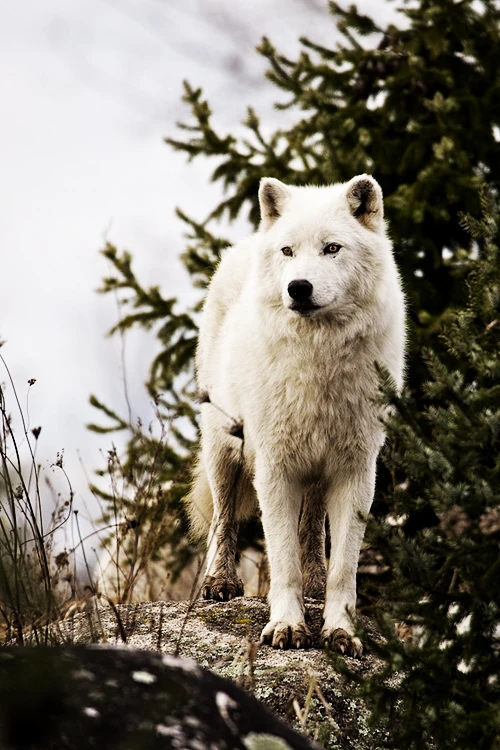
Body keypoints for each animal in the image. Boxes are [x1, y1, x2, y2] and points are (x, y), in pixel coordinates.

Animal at [188, 174, 406, 655]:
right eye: (288, 251)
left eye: (331, 248)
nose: (299, 288)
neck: (318, 361)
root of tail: (248, 241)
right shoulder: (275, 469)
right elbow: (282, 561)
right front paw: (286, 627)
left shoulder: (356, 470)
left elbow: (343, 566)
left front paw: (340, 630)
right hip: (224, 448)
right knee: (222, 519)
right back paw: (220, 583)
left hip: (319, 473)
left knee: (312, 530)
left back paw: (315, 583)